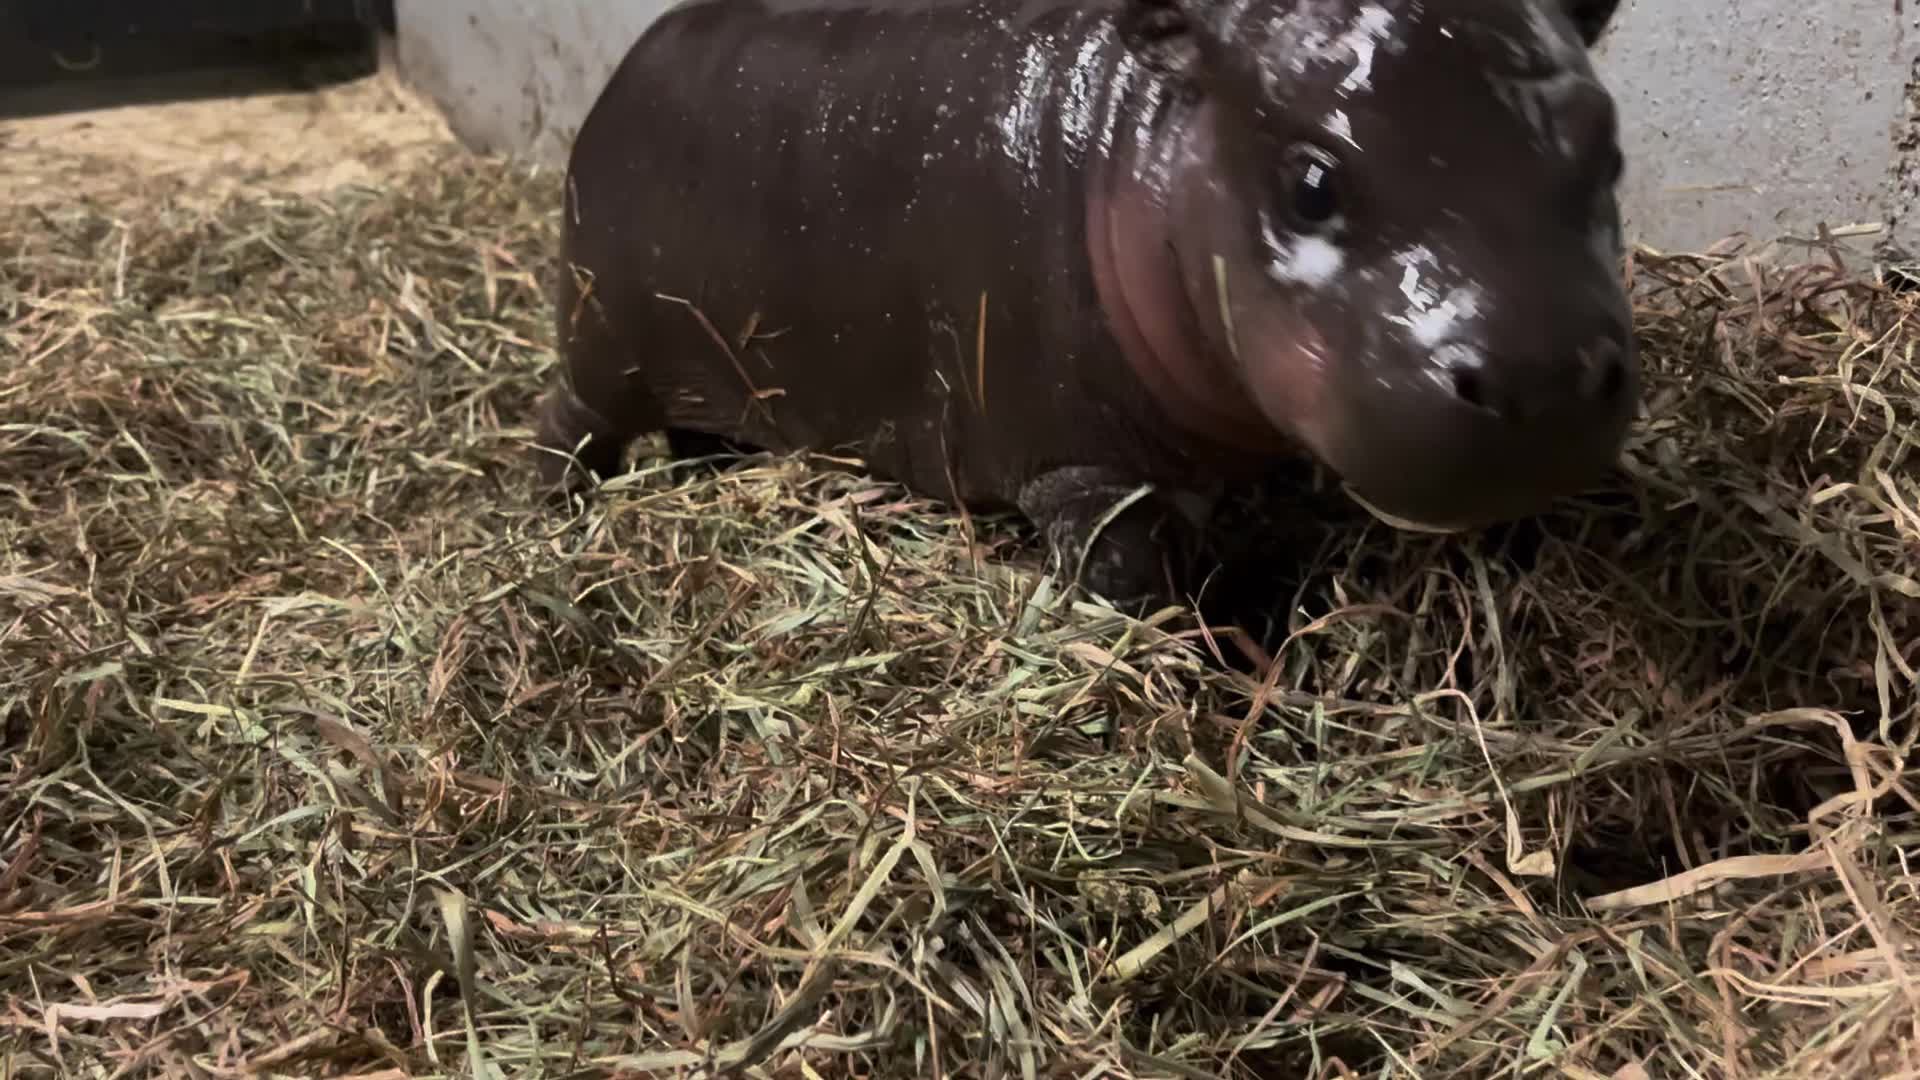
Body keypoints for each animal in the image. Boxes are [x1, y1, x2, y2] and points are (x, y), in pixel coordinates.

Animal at [534, 0, 1638, 608]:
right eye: (1311, 182)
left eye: (1610, 147)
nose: (1544, 378)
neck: (1137, 142)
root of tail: (637, 52)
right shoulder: (1084, 478)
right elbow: (1128, 585)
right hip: (600, 341)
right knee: (564, 423)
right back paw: (553, 514)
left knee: (697, 430)